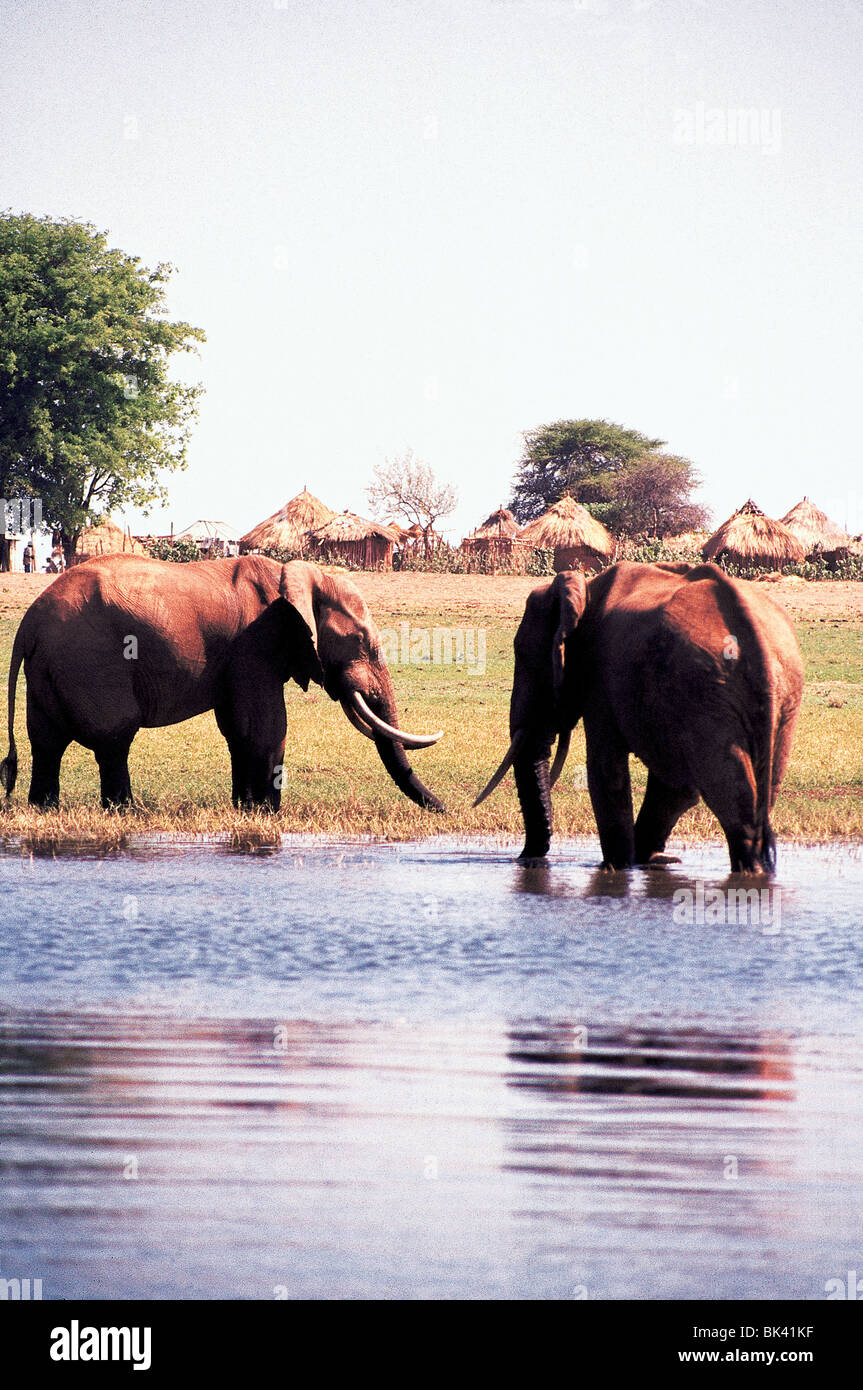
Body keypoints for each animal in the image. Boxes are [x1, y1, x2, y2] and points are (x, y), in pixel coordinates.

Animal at [1, 553, 445, 812]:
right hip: (89, 661)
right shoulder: (256, 642)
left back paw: (45, 810)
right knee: (113, 738)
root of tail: (28, 623)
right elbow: (266, 727)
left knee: (47, 743)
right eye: (362, 642)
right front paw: (267, 814)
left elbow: (239, 729)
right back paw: (126, 812)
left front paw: (245, 809)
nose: (445, 810)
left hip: (50, 669)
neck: (298, 573)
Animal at [475, 561, 804, 873]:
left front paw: (616, 867)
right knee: (759, 788)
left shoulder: (602, 676)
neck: (586, 590)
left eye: (522, 654)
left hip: (708, 687)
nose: (525, 859)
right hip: (777, 695)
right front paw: (645, 862)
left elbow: (606, 772)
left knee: (727, 789)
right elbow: (674, 787)